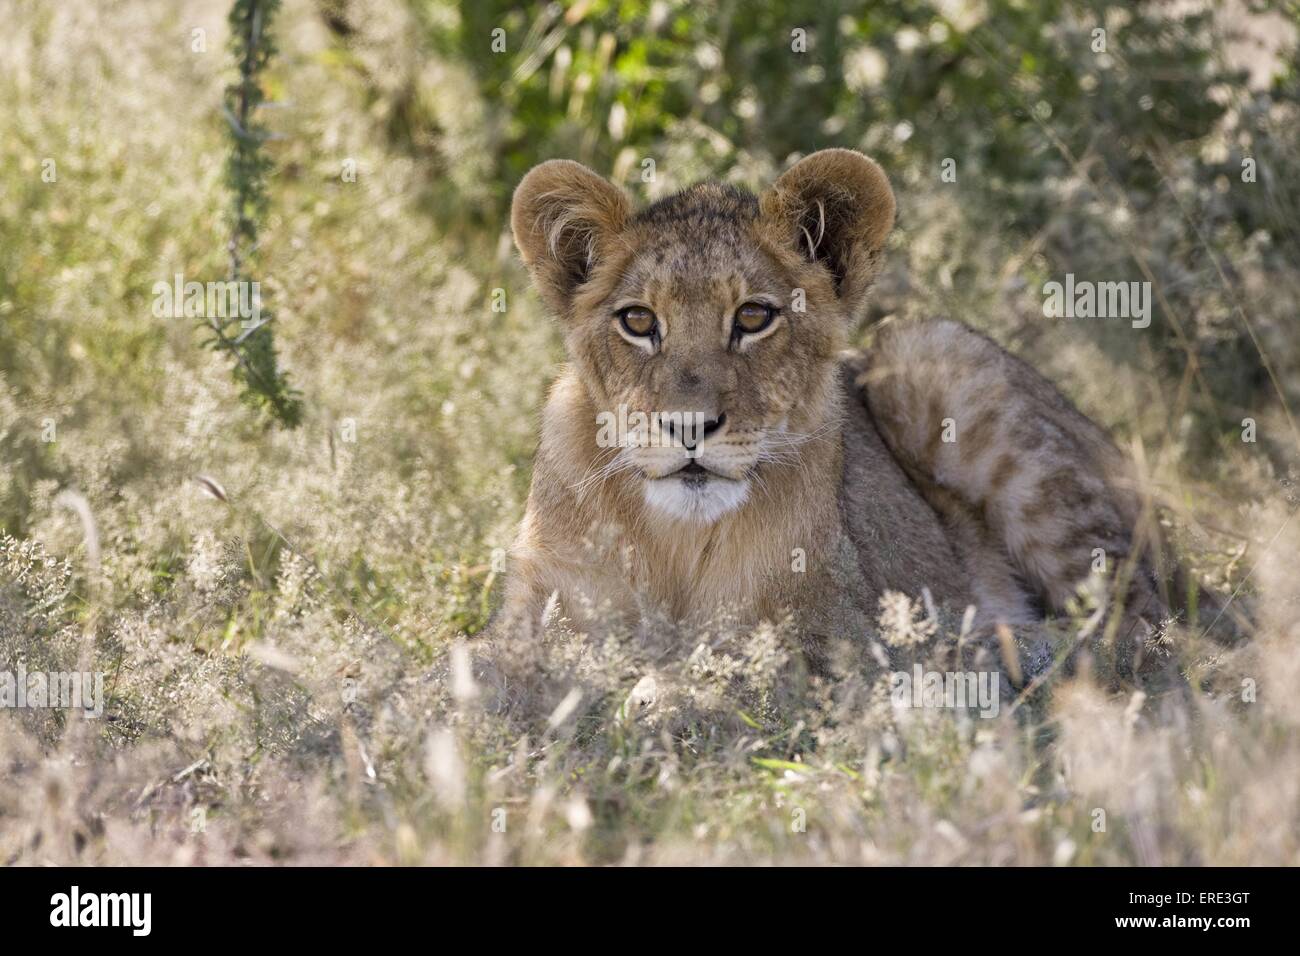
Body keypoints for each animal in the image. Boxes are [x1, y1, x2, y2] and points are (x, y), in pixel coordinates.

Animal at [502, 148, 1187, 677]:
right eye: (639, 321)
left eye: (754, 316)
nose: (689, 427)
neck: (674, 539)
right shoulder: (540, 598)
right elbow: (490, 677)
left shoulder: (841, 629)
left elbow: (728, 660)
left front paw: (656, 690)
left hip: (926, 350)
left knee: (1148, 634)